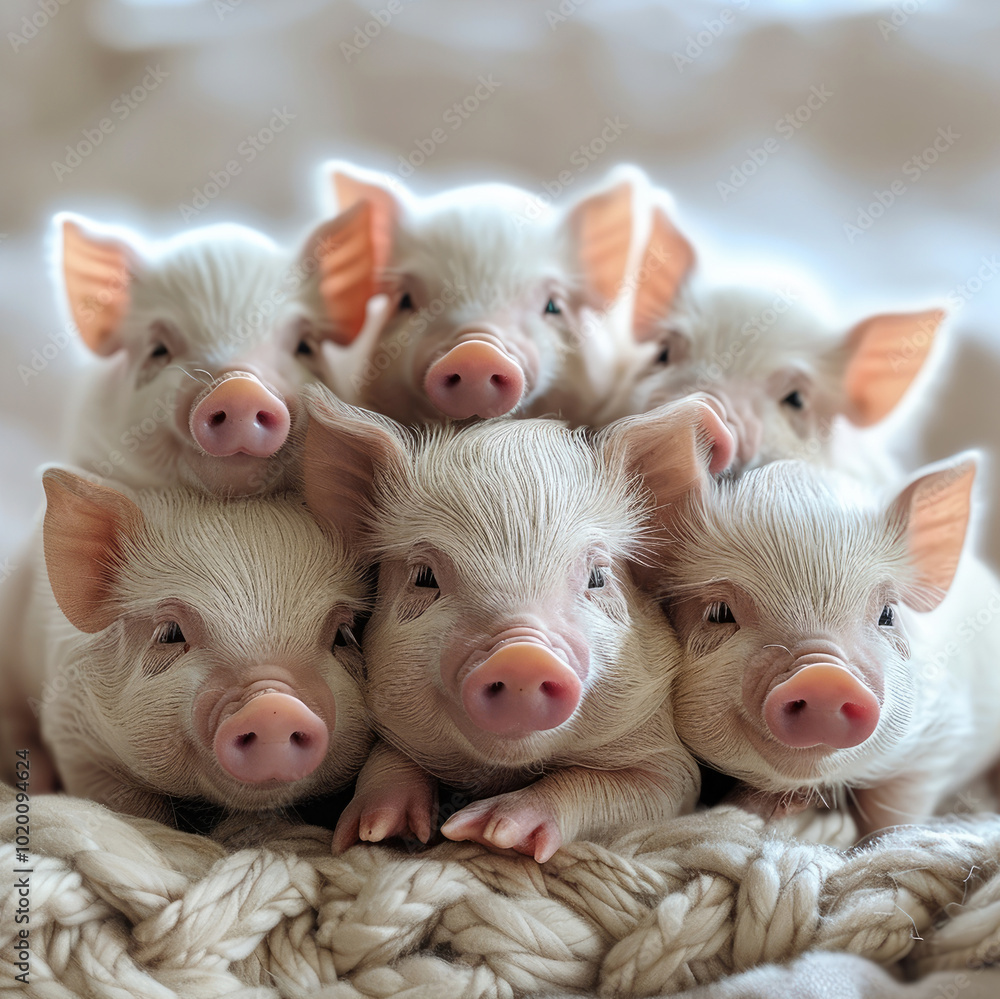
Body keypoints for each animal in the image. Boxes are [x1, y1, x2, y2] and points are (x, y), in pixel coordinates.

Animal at [302, 386, 734, 861]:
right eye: (424, 577)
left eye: (598, 577)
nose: (522, 656)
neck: (504, 772)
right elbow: (387, 760)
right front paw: (375, 831)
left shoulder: (664, 757)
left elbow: (618, 783)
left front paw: (487, 832)